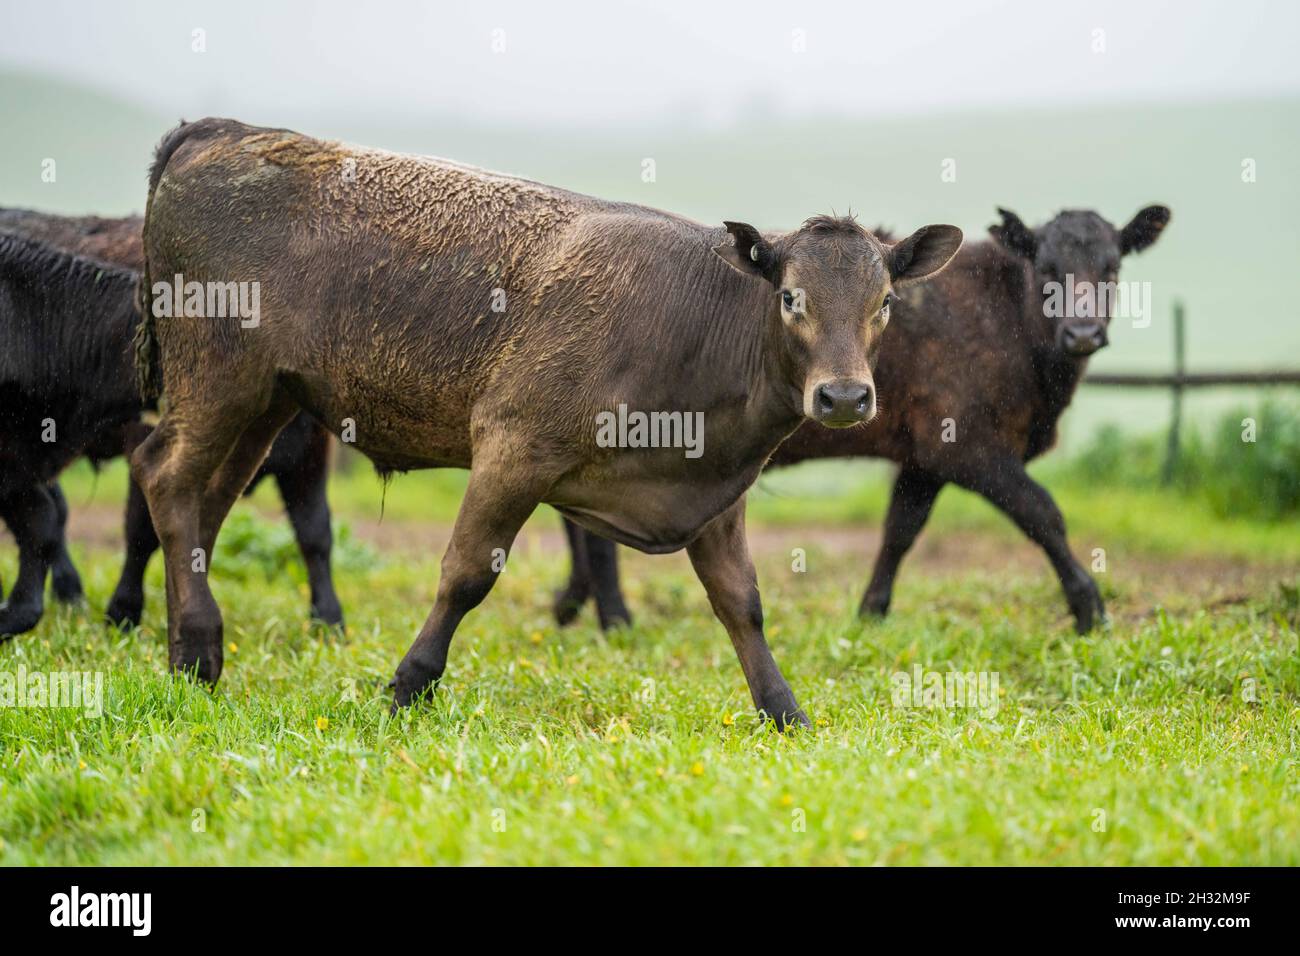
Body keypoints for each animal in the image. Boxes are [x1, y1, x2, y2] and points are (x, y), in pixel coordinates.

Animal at [0, 208, 344, 630]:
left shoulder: (310, 450)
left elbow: (315, 532)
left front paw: (329, 619)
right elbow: (142, 530)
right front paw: (123, 611)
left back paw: (69, 593)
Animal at [133, 117, 962, 727]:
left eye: (886, 302)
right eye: (791, 298)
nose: (845, 397)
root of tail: (222, 130)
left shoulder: (715, 490)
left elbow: (742, 604)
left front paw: (785, 712)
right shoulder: (513, 447)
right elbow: (466, 574)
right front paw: (407, 687)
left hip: (264, 400)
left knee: (204, 504)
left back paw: (182, 655)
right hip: (219, 377)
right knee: (165, 477)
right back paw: (201, 647)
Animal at [555, 206, 1172, 634]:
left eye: (1112, 267)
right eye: (1045, 268)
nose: (1083, 332)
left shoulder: (925, 457)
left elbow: (900, 530)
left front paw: (871, 612)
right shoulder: (968, 445)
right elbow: (1043, 513)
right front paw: (1089, 608)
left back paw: (574, 604)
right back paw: (614, 618)